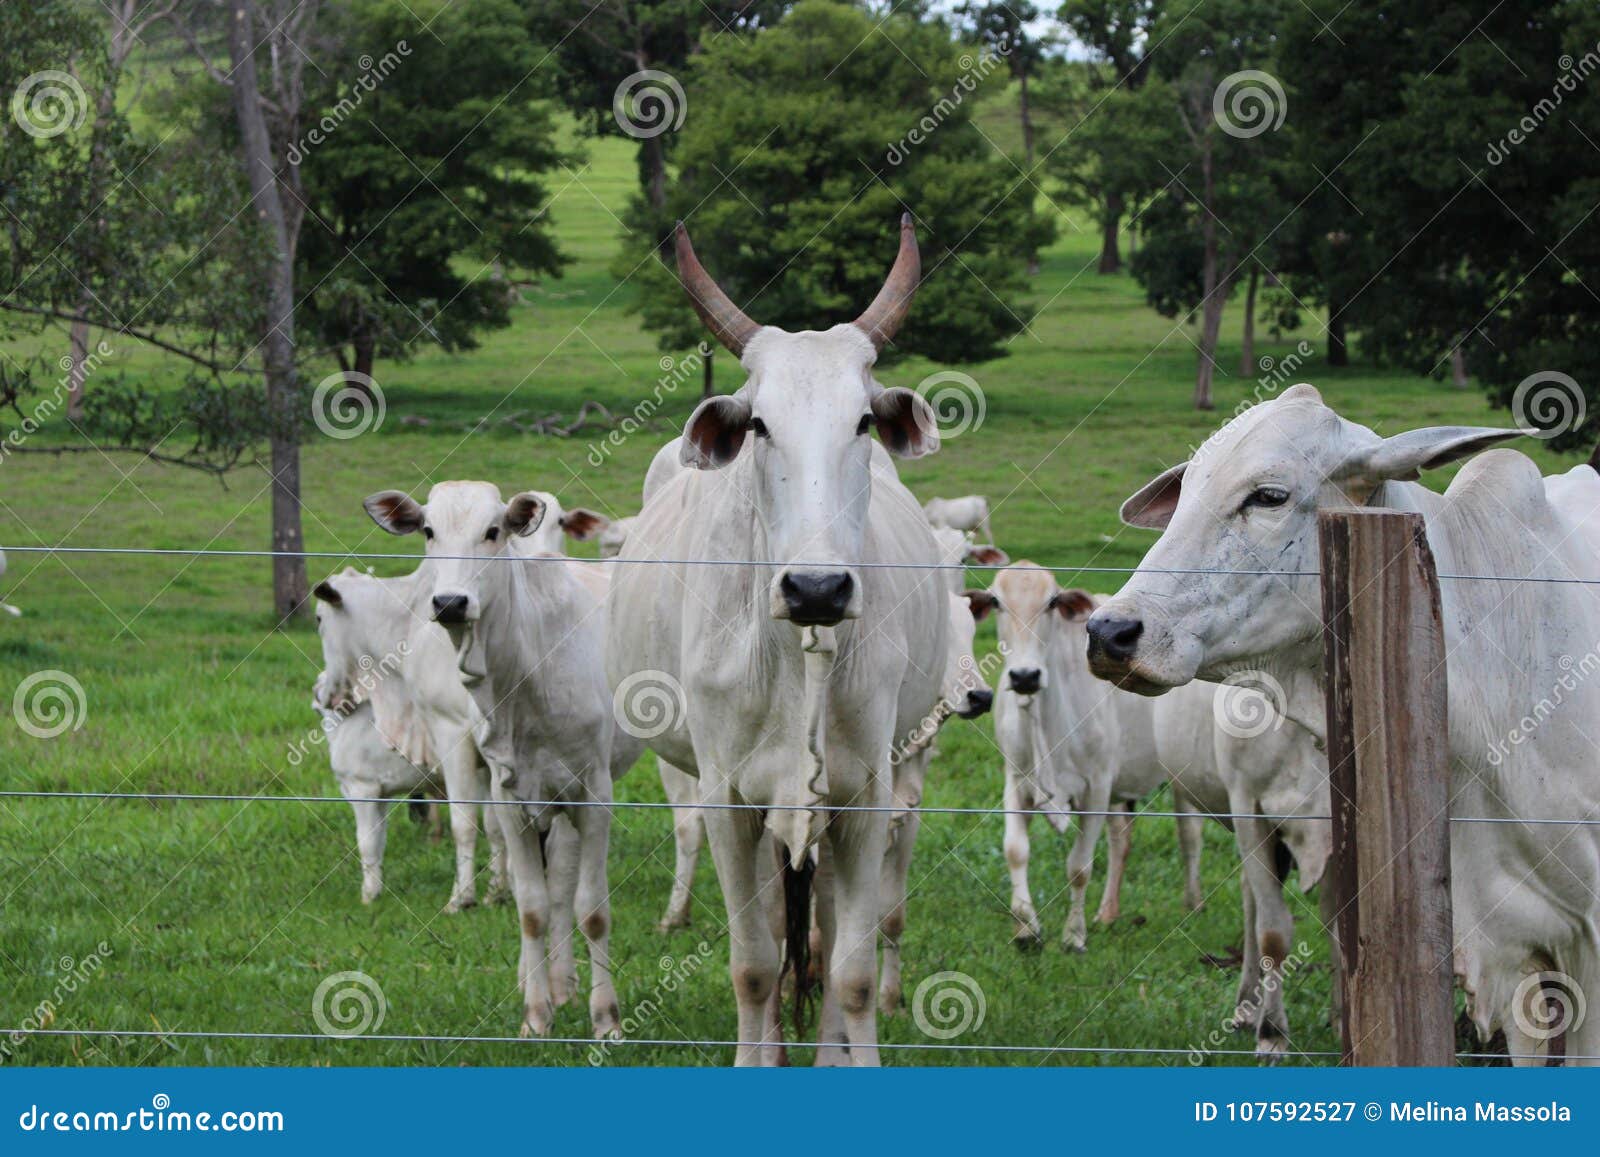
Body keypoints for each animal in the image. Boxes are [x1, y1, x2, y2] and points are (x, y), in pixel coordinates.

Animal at [363, 482, 642, 1040]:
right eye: (429, 530)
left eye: (493, 531)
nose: (450, 602)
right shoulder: (509, 794)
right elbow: (531, 907)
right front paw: (535, 1015)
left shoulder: (595, 793)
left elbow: (593, 908)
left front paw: (607, 1020)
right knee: (552, 889)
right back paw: (548, 981)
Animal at [606, 215, 947, 1065]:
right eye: (759, 422)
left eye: (864, 421)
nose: (817, 588)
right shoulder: (727, 798)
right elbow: (755, 964)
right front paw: (755, 1057)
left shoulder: (864, 796)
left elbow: (851, 968)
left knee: (820, 932)